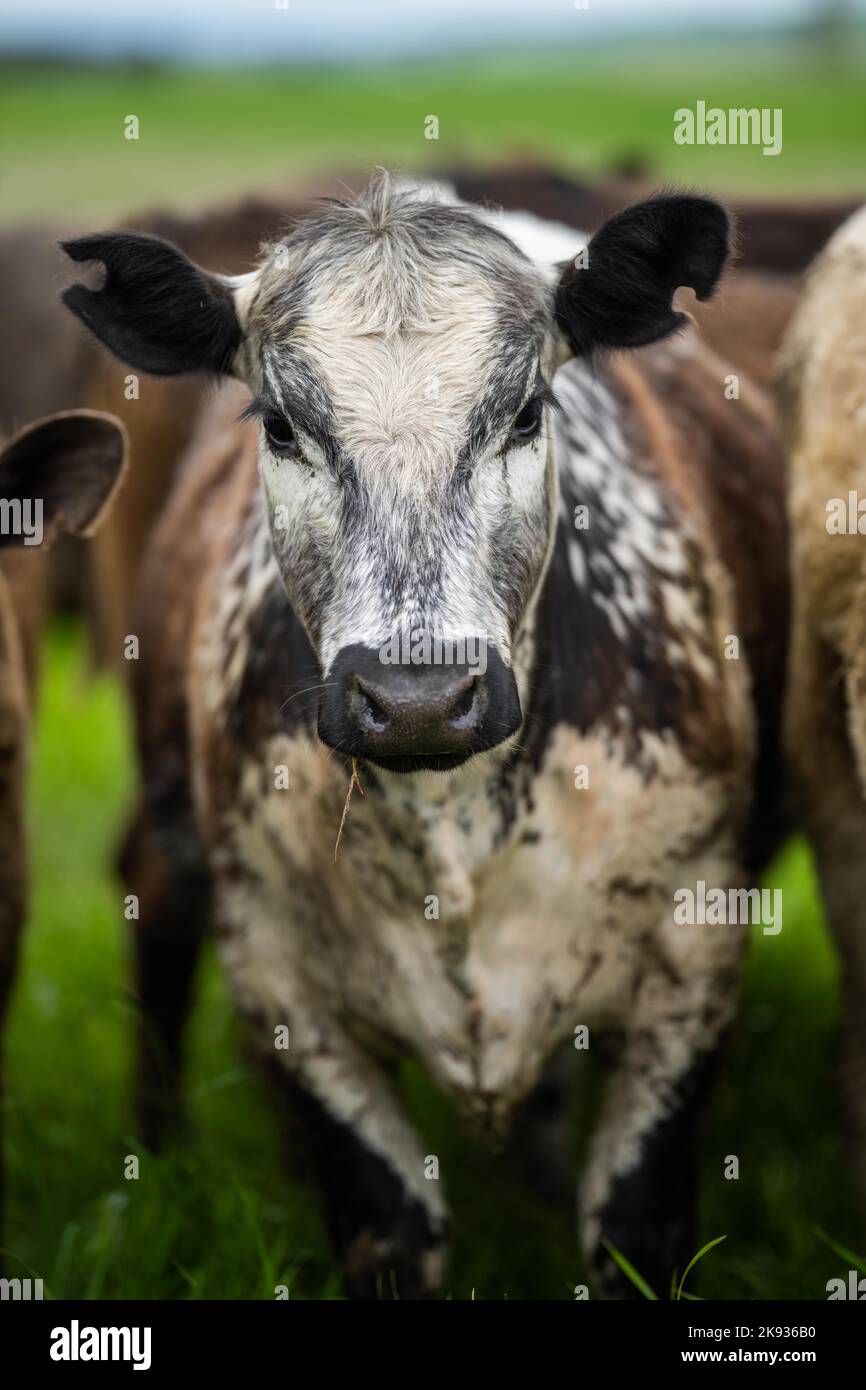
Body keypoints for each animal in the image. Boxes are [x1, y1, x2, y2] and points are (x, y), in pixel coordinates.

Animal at [61, 175, 788, 1298]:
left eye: (526, 412)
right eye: (280, 425)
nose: (415, 698)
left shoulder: (692, 954)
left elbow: (632, 1226)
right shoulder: (278, 976)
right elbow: (389, 1227)